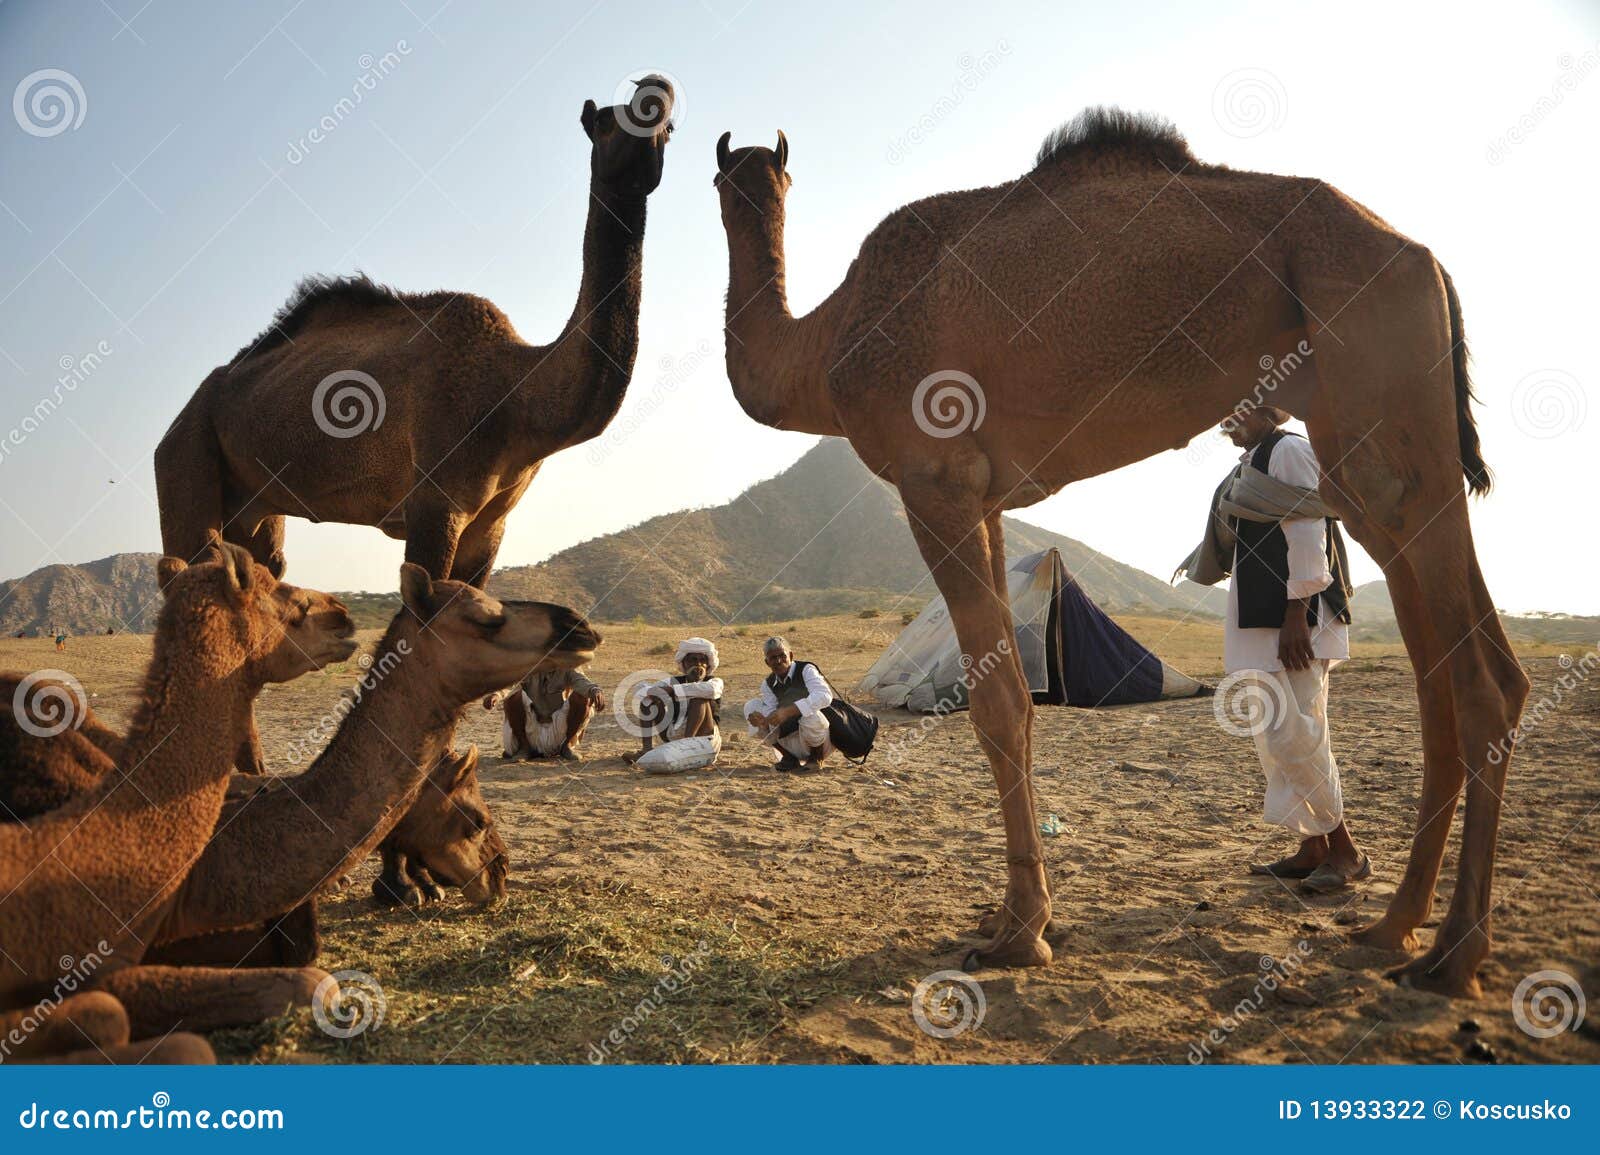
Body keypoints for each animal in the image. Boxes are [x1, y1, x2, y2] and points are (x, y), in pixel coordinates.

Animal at [153, 78, 672, 775]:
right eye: (611, 124)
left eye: (668, 123)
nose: (654, 100)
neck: (517, 393)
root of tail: (185, 408)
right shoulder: (435, 501)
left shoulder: (491, 524)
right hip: (186, 451)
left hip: (256, 504)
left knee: (260, 567)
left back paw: (250, 770)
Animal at [713, 108, 1528, 997]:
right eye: (729, 178)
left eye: (754, 176)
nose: (737, 175)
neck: (830, 343)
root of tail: (1426, 259)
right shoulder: (985, 498)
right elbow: (1014, 696)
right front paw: (1014, 916)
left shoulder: (935, 479)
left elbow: (998, 705)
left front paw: (1019, 936)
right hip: (1367, 447)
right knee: (1448, 675)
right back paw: (1392, 926)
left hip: (1381, 405)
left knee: (1480, 679)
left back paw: (1452, 955)